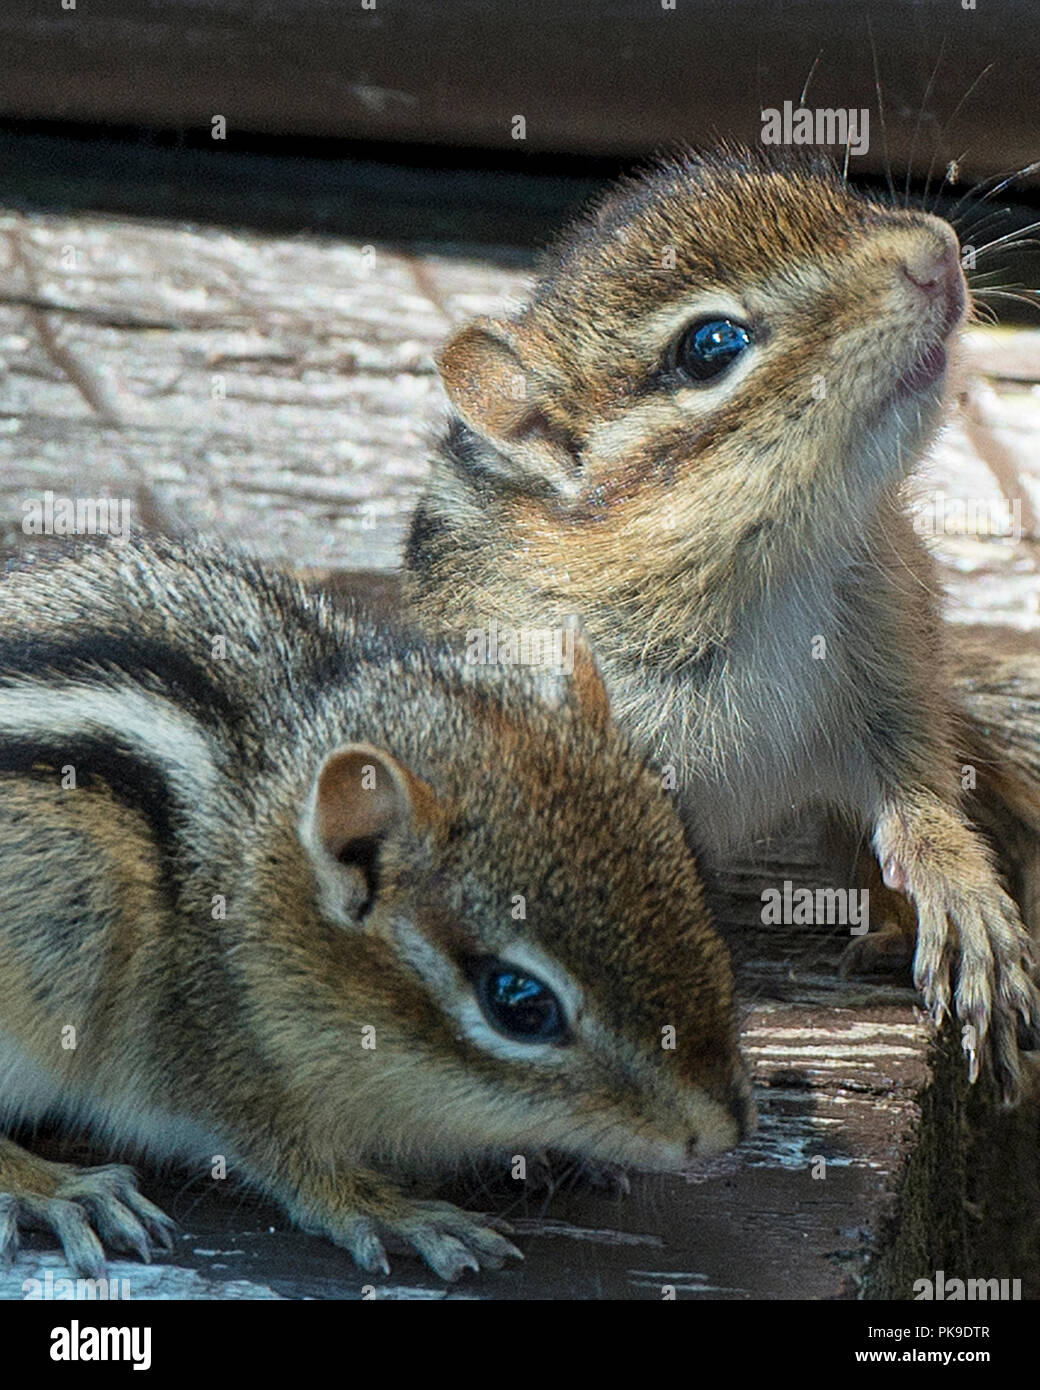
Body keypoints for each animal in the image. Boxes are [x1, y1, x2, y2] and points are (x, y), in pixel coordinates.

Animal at [0, 535, 752, 1281]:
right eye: (520, 1003)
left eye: (686, 853)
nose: (725, 1130)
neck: (254, 878)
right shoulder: (217, 1057)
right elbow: (291, 1161)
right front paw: (392, 1210)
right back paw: (56, 1188)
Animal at [403, 145, 1040, 1103]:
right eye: (710, 347)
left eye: (835, 193)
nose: (937, 252)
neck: (759, 574)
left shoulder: (892, 667)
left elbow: (918, 792)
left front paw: (956, 891)